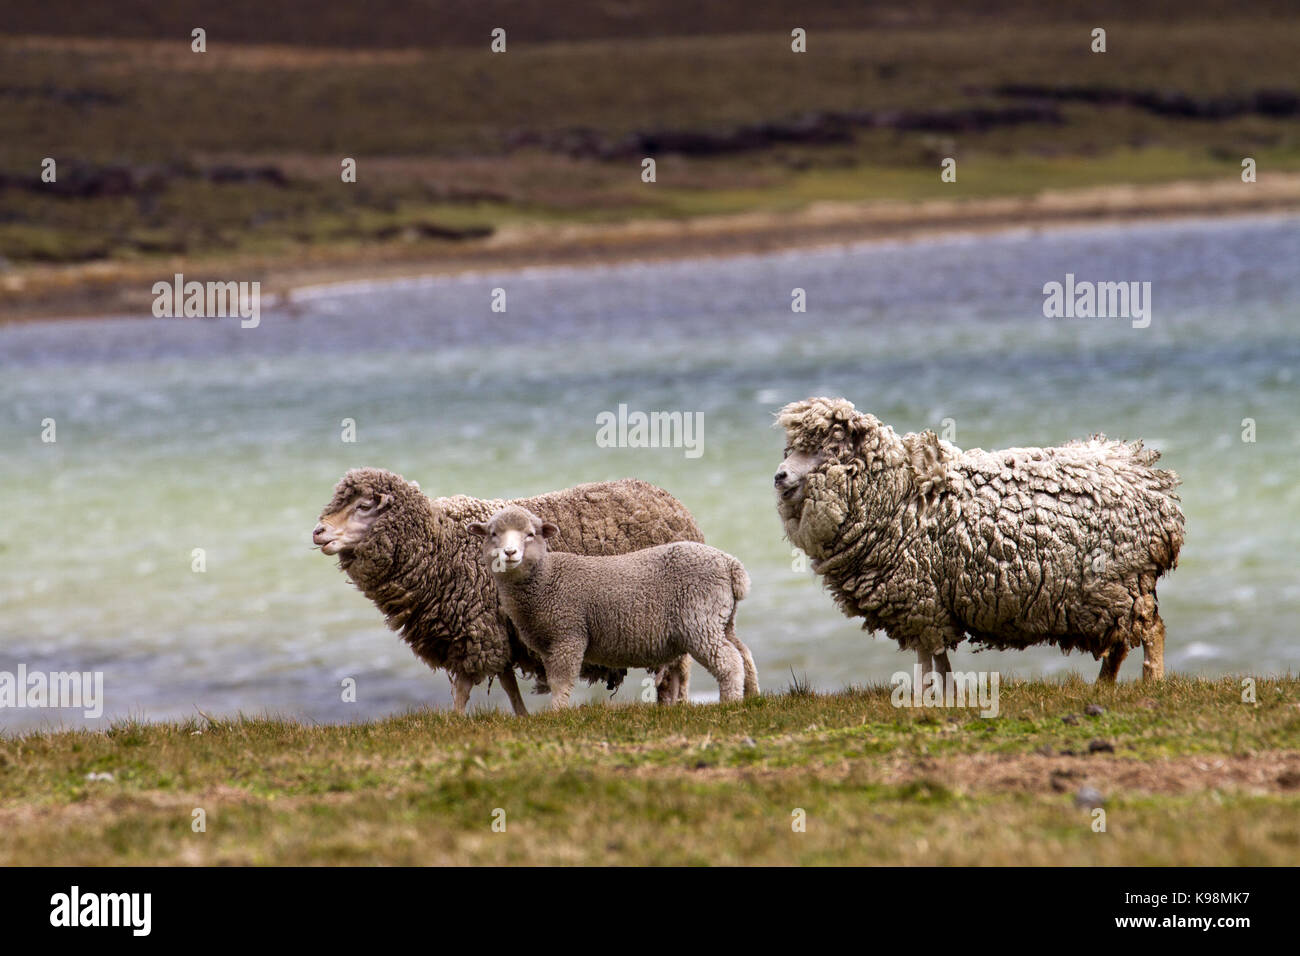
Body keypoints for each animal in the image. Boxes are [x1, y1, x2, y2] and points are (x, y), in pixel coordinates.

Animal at [312, 467, 702, 714]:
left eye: (364, 506)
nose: (318, 532)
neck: (440, 543)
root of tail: (673, 503)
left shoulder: (476, 629)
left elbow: (464, 688)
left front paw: (455, 723)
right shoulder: (496, 630)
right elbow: (507, 684)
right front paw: (522, 717)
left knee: (678, 672)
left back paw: (677, 709)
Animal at [468, 506, 759, 708]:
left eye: (530, 534)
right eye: (493, 534)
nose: (509, 553)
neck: (545, 578)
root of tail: (730, 565)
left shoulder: (568, 635)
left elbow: (561, 682)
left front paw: (557, 712)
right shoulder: (551, 645)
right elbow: (554, 680)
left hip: (700, 620)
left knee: (729, 660)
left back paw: (730, 702)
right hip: (722, 619)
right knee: (744, 654)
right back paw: (752, 697)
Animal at [773, 397, 1184, 683]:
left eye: (828, 448)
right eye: (791, 449)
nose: (779, 476)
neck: (897, 494)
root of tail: (1153, 484)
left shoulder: (920, 600)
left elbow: (927, 661)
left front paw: (924, 699)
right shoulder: (932, 606)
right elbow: (939, 660)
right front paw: (946, 695)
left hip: (1121, 582)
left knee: (1151, 631)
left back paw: (1151, 682)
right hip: (1111, 594)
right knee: (1120, 643)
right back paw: (1103, 687)